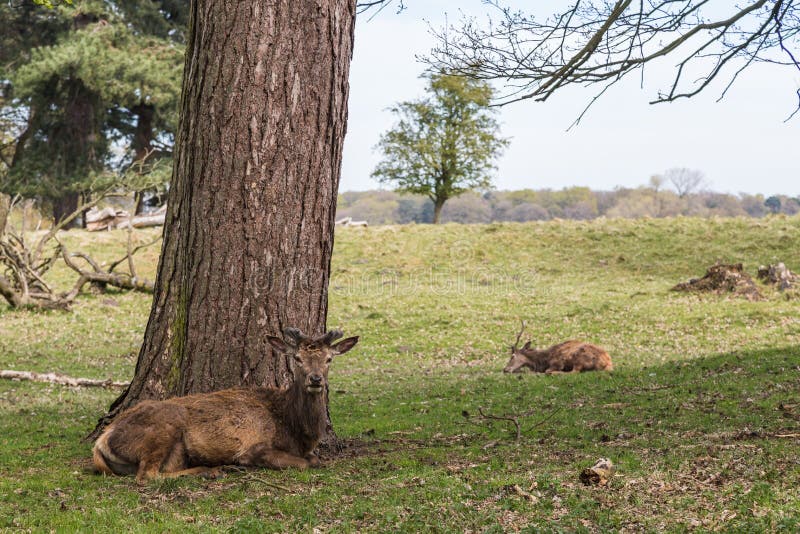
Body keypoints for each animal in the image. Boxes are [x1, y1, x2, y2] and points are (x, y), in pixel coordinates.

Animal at [92, 328, 358, 483]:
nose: (316, 379)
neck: (293, 429)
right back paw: (211, 470)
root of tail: (102, 440)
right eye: (297, 358)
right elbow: (305, 464)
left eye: (329, 359)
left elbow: (315, 459)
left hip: (175, 452)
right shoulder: (253, 445)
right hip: (165, 425)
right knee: (146, 475)